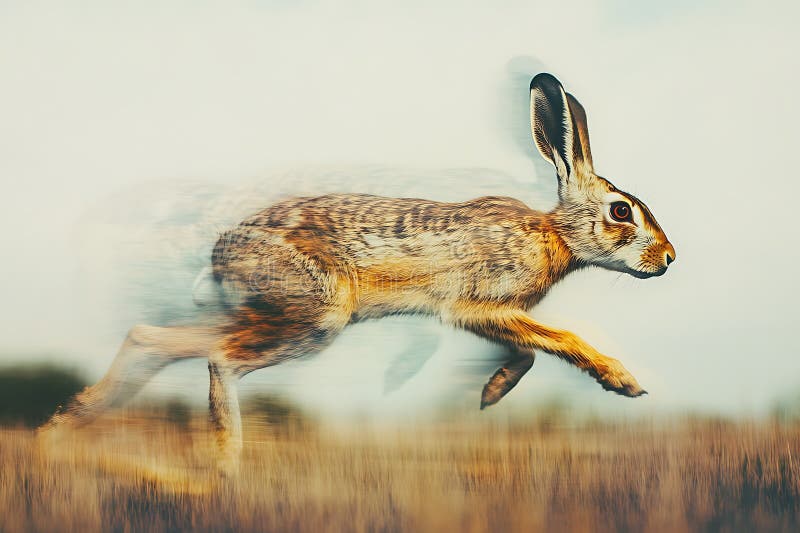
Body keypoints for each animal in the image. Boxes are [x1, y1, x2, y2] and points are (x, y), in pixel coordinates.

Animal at [40, 73, 675, 475]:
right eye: (622, 212)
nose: (668, 259)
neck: (554, 234)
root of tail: (219, 257)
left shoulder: (488, 318)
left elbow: (526, 353)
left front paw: (491, 394)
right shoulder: (475, 305)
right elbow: (557, 340)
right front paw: (622, 381)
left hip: (267, 312)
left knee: (151, 340)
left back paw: (61, 431)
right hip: (317, 314)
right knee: (220, 360)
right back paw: (224, 466)